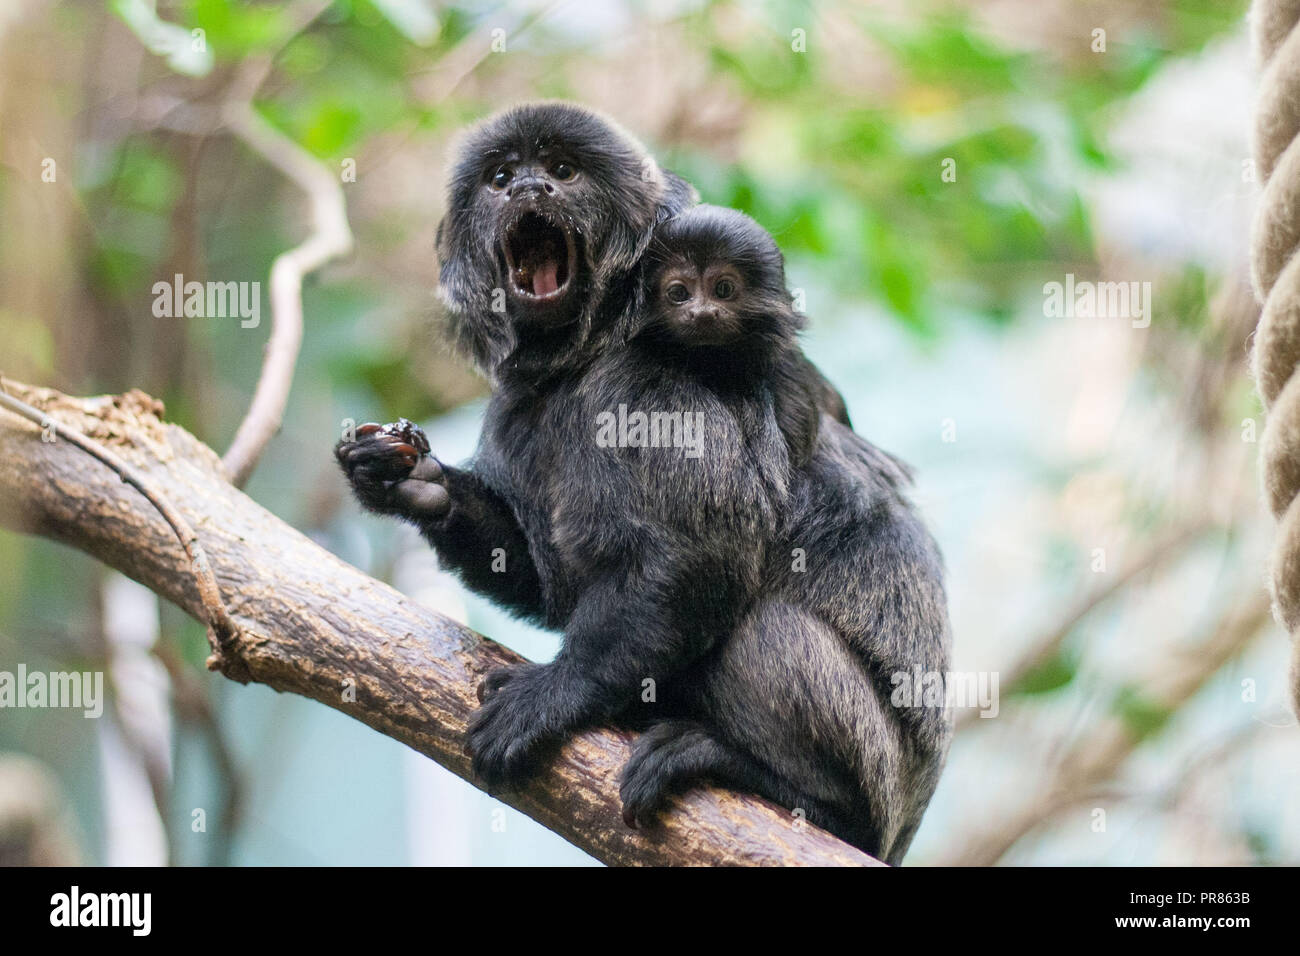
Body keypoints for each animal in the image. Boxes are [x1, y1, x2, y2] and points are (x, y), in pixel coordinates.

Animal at [334, 103, 948, 862]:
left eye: (562, 171)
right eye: (501, 178)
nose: (528, 189)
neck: (583, 361)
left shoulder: (652, 392)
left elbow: (694, 559)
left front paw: (555, 695)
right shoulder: (518, 412)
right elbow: (546, 583)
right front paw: (416, 482)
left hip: (876, 766)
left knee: (760, 623)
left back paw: (779, 785)